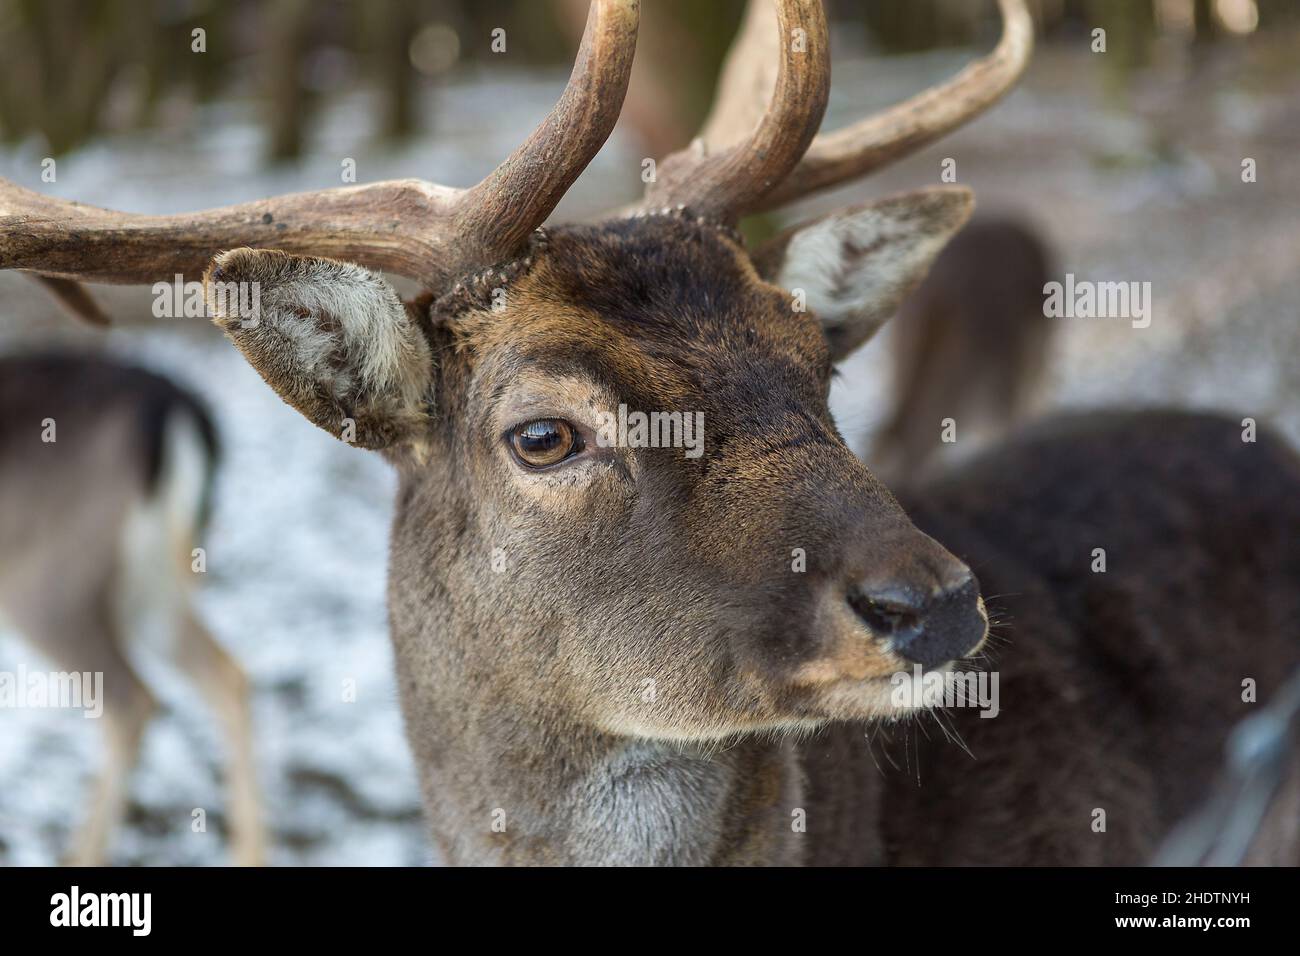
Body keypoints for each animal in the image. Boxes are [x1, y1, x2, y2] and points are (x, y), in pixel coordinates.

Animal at [0, 352, 262, 866]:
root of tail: (179, 412)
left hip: (47, 588)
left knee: (132, 701)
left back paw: (82, 854)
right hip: (147, 584)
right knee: (227, 674)